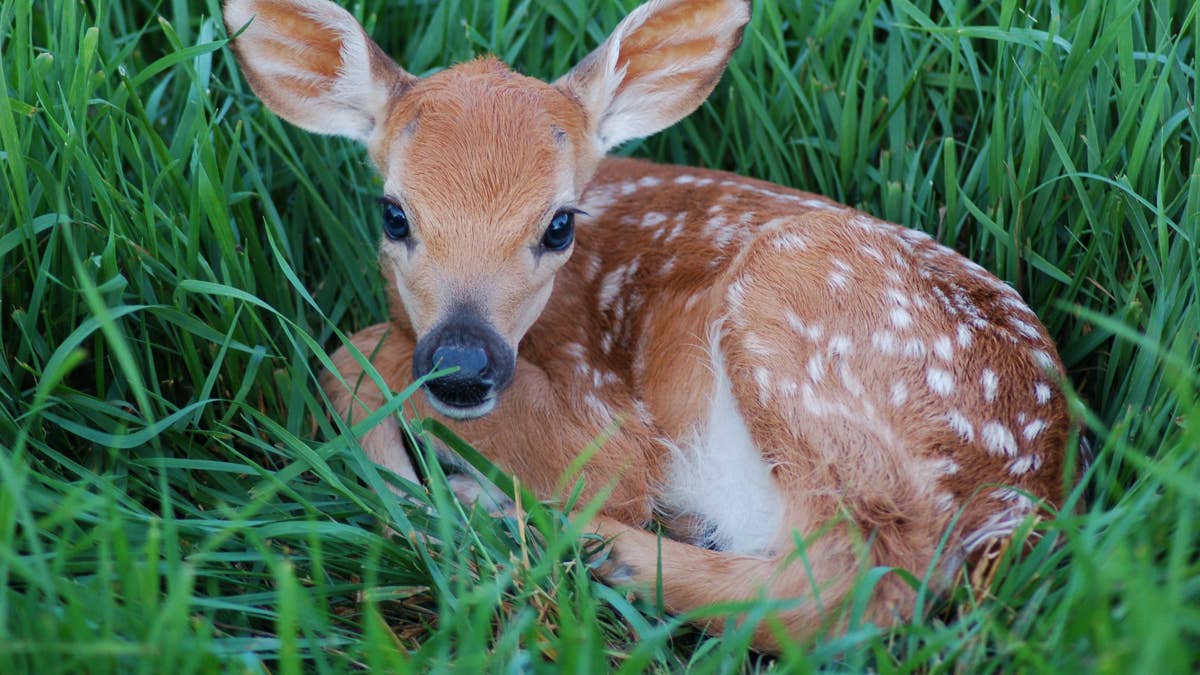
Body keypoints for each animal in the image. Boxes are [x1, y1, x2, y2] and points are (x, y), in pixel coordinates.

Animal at [223, 0, 1074, 650]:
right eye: (394, 214)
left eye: (559, 224)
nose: (463, 364)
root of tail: (1028, 493)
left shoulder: (607, 417)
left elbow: (356, 351)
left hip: (796, 309)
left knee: (856, 579)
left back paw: (586, 543)